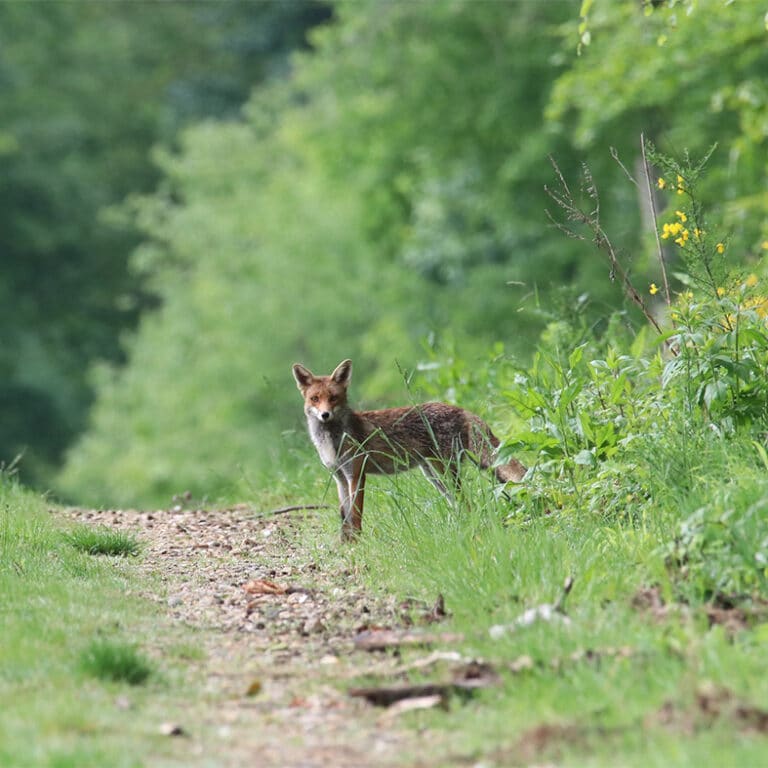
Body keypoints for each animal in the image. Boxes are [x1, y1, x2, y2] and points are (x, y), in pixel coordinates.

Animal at [292, 358, 526, 539]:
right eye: (315, 398)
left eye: (333, 398)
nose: (325, 415)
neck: (332, 441)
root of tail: (460, 409)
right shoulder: (340, 477)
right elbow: (344, 517)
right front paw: (345, 543)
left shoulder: (356, 475)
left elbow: (356, 516)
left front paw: (358, 544)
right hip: (434, 475)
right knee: (461, 504)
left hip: (444, 472)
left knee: (467, 502)